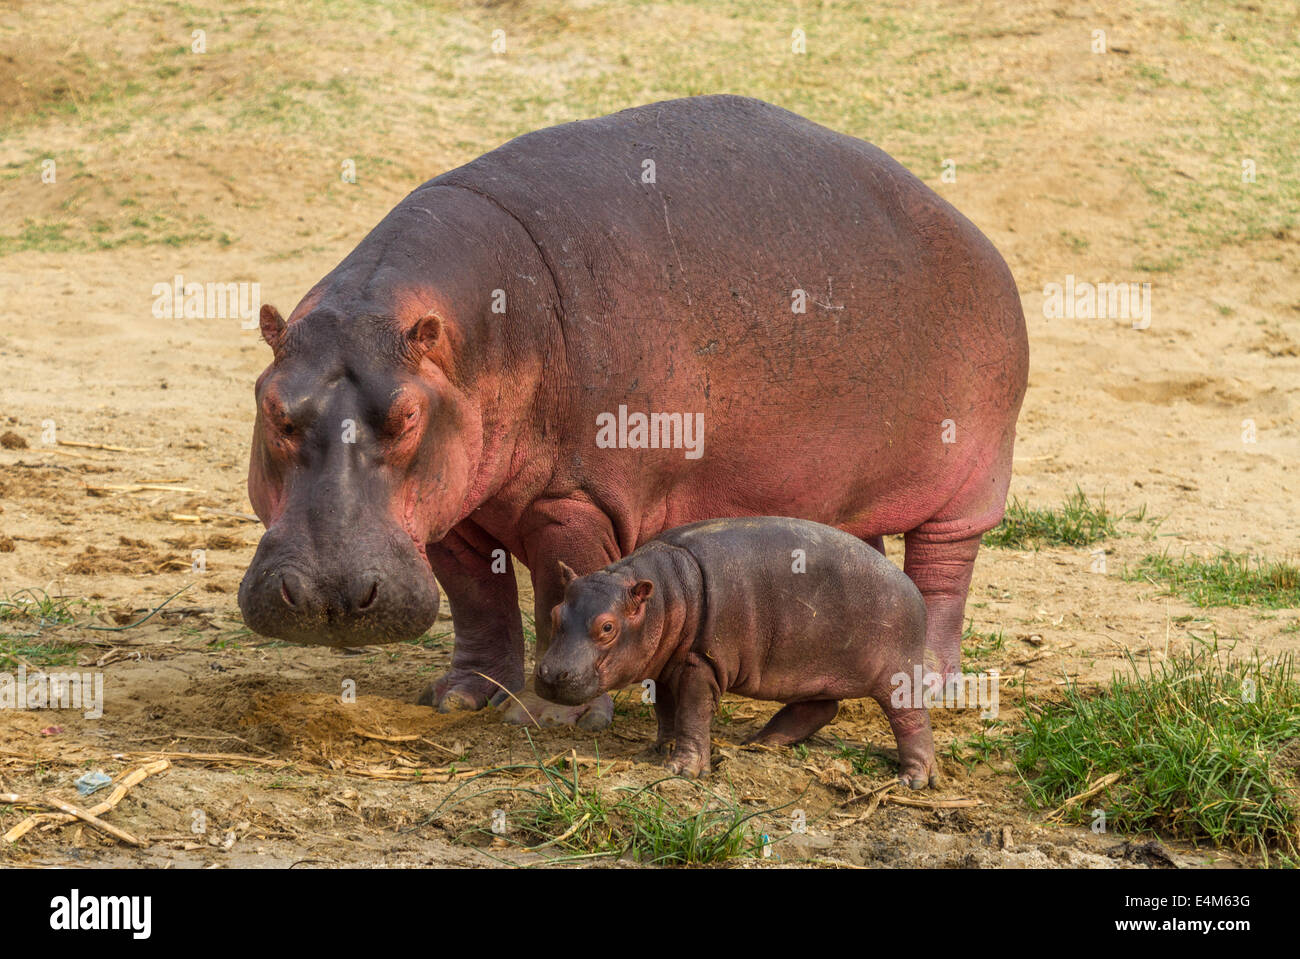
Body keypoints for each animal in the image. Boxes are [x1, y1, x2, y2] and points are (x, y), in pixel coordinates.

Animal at [238, 94, 1028, 729]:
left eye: (405, 417)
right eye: (272, 407)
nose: (329, 595)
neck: (473, 330)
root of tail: (975, 233)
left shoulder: (576, 500)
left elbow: (560, 587)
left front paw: (559, 717)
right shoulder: (452, 510)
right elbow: (477, 600)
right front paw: (462, 696)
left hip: (970, 479)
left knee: (943, 572)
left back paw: (933, 681)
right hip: (839, 489)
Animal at [536, 517, 938, 786]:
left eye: (607, 627)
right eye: (555, 613)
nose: (550, 674)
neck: (663, 594)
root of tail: (912, 588)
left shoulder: (700, 663)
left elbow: (692, 713)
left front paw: (682, 770)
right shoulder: (664, 665)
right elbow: (667, 710)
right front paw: (661, 750)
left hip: (896, 673)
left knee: (911, 718)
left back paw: (914, 780)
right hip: (814, 667)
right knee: (821, 707)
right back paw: (760, 742)